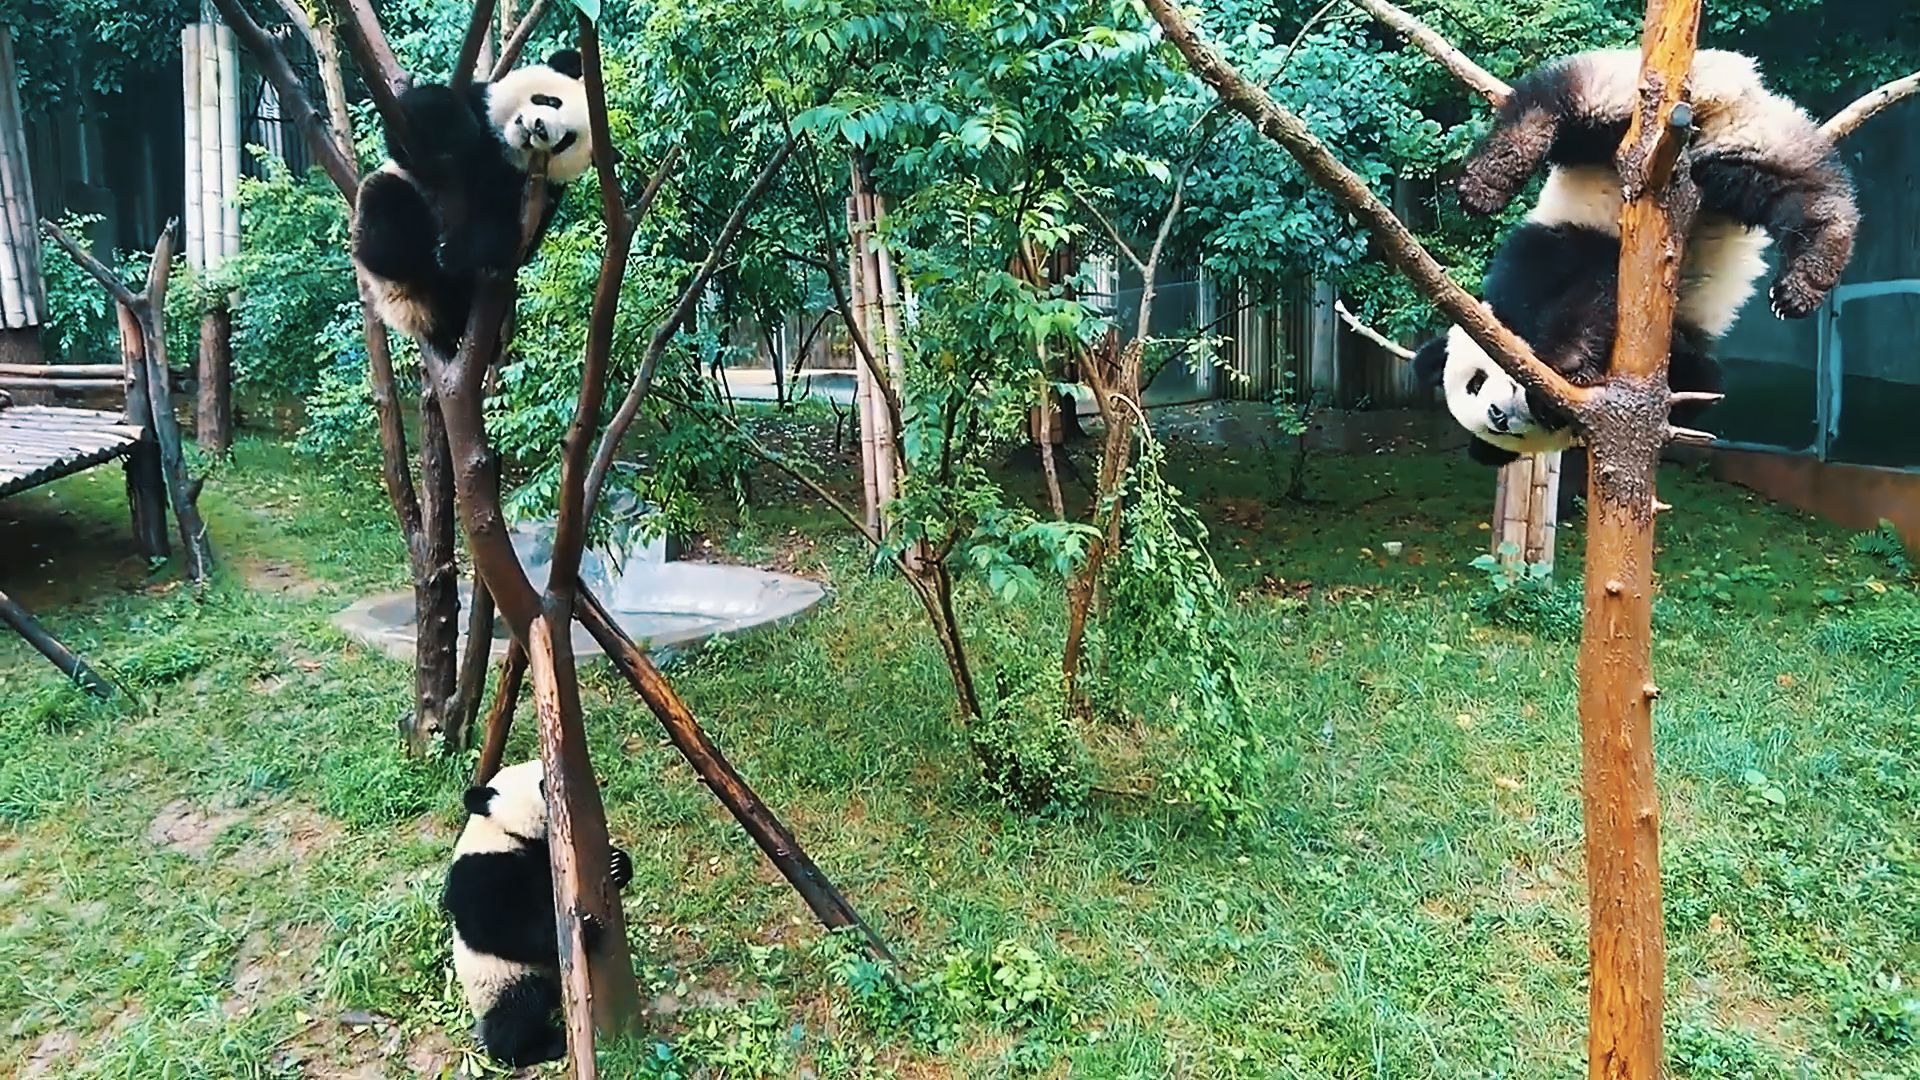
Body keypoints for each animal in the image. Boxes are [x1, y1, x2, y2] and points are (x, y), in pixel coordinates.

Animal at [351, 51, 596, 359]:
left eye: (565, 140)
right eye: (550, 101)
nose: (540, 128)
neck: (504, 149)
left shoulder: (540, 193)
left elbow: (510, 239)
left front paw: (455, 251)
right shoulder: (474, 116)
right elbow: (408, 141)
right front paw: (453, 122)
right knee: (382, 207)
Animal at [443, 758, 634, 1067]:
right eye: (545, 783)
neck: (504, 831)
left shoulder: (546, 857)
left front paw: (618, 866)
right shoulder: (481, 871)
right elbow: (501, 927)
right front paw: (585, 930)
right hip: (500, 979)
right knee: (520, 1008)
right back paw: (536, 1046)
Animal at [1413, 48, 1859, 466]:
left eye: (1475, 380)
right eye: (1498, 431)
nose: (1497, 412)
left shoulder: (1547, 256)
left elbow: (1591, 294)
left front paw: (1566, 363)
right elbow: (1697, 382)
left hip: (1629, 110)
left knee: (1565, 102)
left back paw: (1488, 181)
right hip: (1744, 142)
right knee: (1791, 183)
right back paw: (1814, 267)